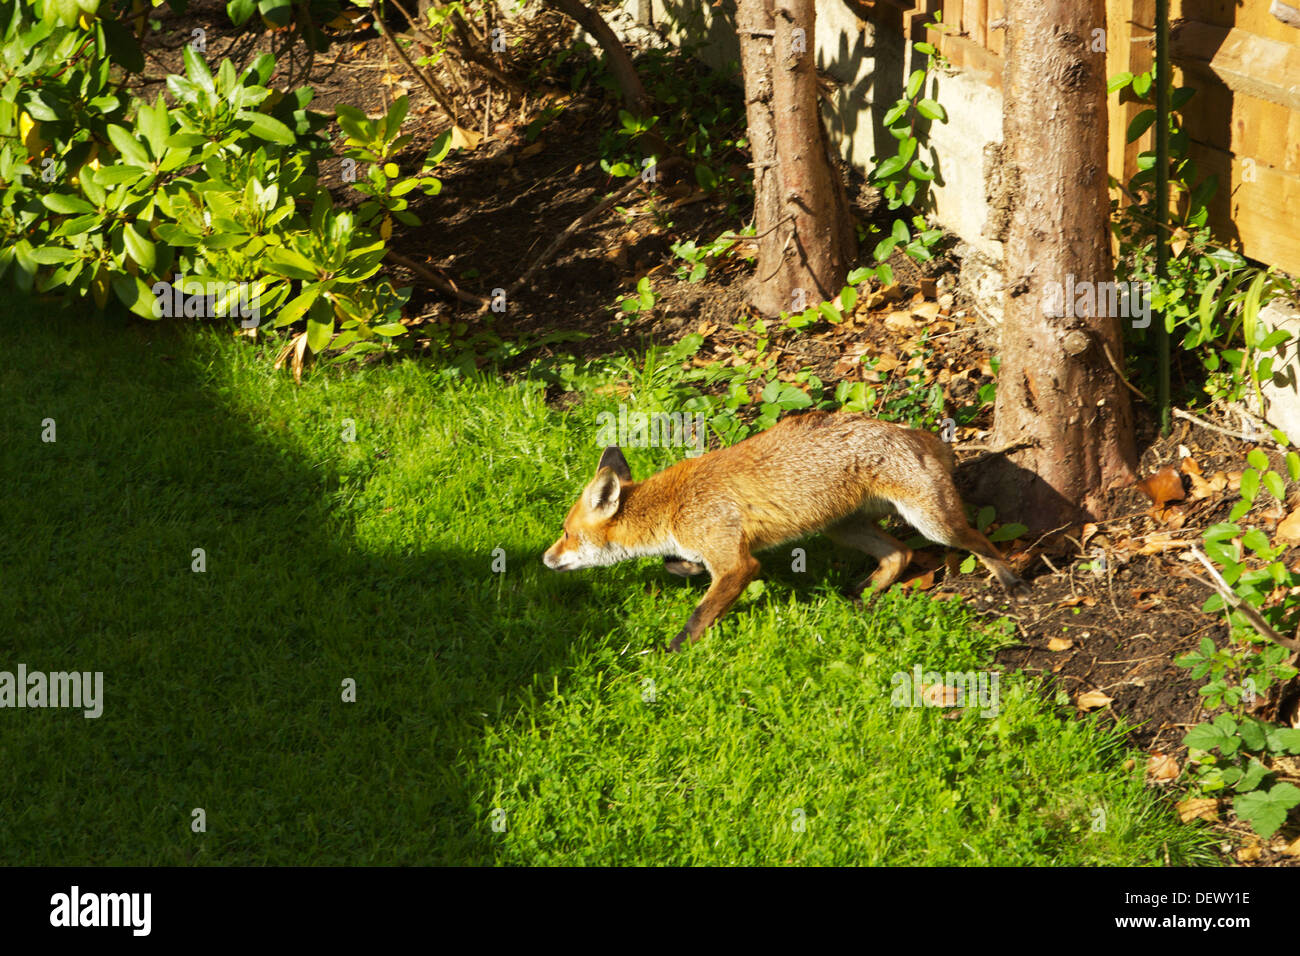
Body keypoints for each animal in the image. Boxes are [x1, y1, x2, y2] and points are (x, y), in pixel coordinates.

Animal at [543, 409, 1029, 651]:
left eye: (566, 533)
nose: (545, 559)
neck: (670, 508)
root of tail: (918, 433)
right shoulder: (717, 550)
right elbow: (676, 565)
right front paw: (684, 569)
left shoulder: (738, 565)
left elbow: (700, 614)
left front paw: (676, 650)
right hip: (843, 529)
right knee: (899, 554)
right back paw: (861, 596)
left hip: (935, 524)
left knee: (979, 541)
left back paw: (1011, 580)